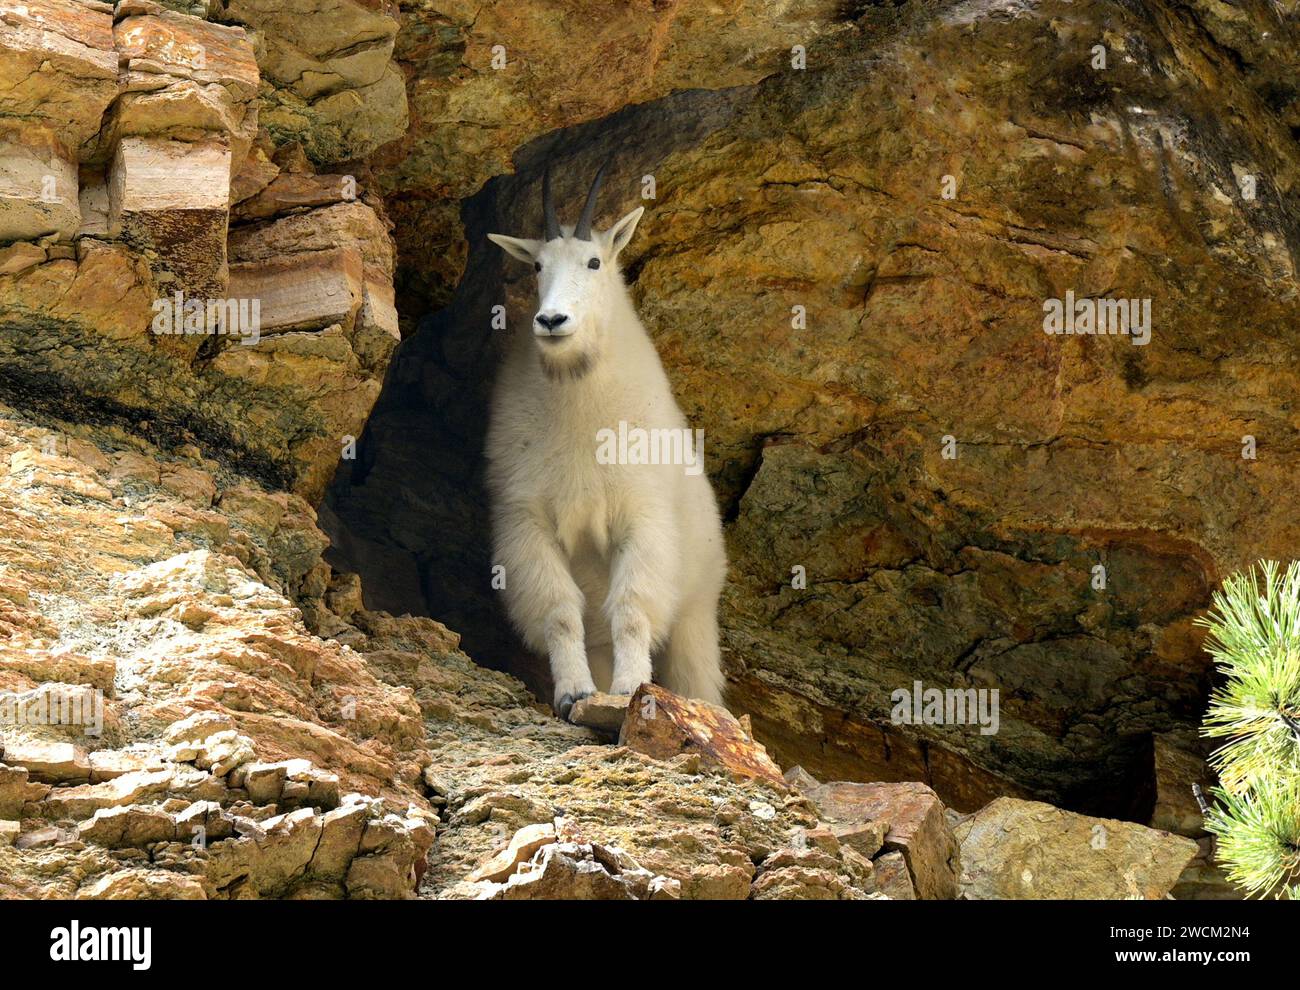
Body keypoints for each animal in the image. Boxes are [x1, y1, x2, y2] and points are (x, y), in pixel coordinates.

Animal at [485, 165, 727, 718]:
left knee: (697, 675)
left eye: (594, 261)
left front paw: (629, 687)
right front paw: (572, 692)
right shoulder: (527, 521)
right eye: (537, 266)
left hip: (696, 611)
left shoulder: (641, 517)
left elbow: (632, 610)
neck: (579, 410)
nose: (552, 320)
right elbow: (558, 612)